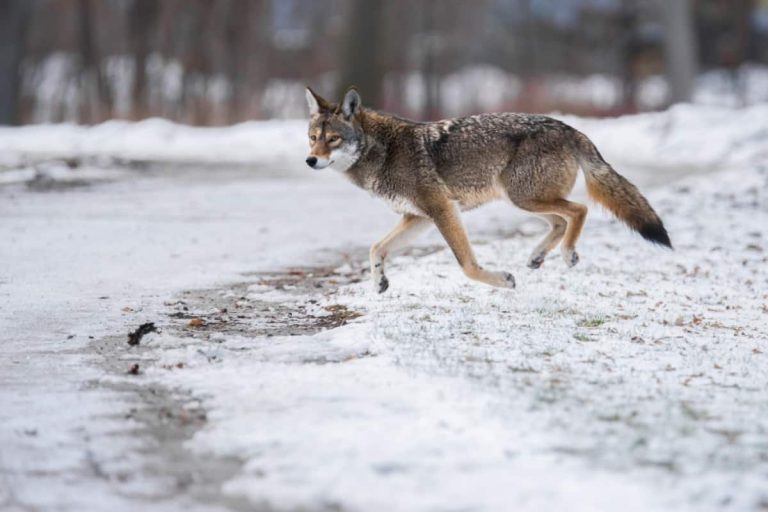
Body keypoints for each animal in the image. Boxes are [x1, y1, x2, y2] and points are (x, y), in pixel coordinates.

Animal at [305, 86, 671, 293]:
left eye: (332, 139)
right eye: (312, 137)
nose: (310, 160)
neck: (383, 151)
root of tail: (570, 128)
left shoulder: (441, 209)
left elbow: (466, 264)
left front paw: (503, 281)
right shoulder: (417, 218)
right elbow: (375, 249)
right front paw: (379, 281)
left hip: (522, 197)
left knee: (578, 210)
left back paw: (567, 254)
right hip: (524, 201)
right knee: (561, 220)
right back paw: (538, 256)